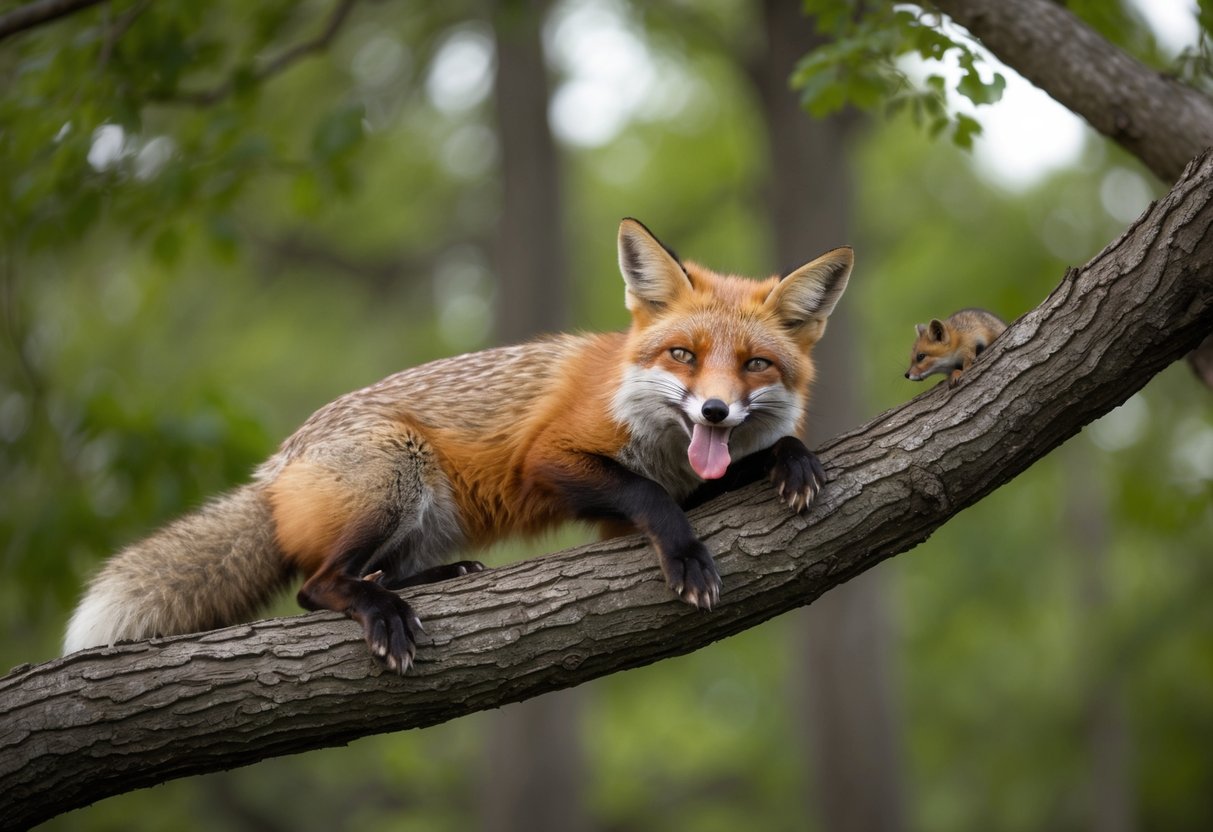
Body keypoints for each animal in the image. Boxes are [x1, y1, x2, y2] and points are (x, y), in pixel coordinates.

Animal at [64, 218, 853, 674]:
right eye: (683, 356)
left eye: (755, 365)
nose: (714, 410)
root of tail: (276, 469)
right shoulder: (553, 457)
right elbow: (650, 495)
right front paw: (687, 556)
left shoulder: (657, 495)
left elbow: (739, 466)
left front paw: (792, 460)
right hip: (397, 472)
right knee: (316, 588)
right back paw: (384, 610)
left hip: (421, 520)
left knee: (345, 584)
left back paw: (434, 582)